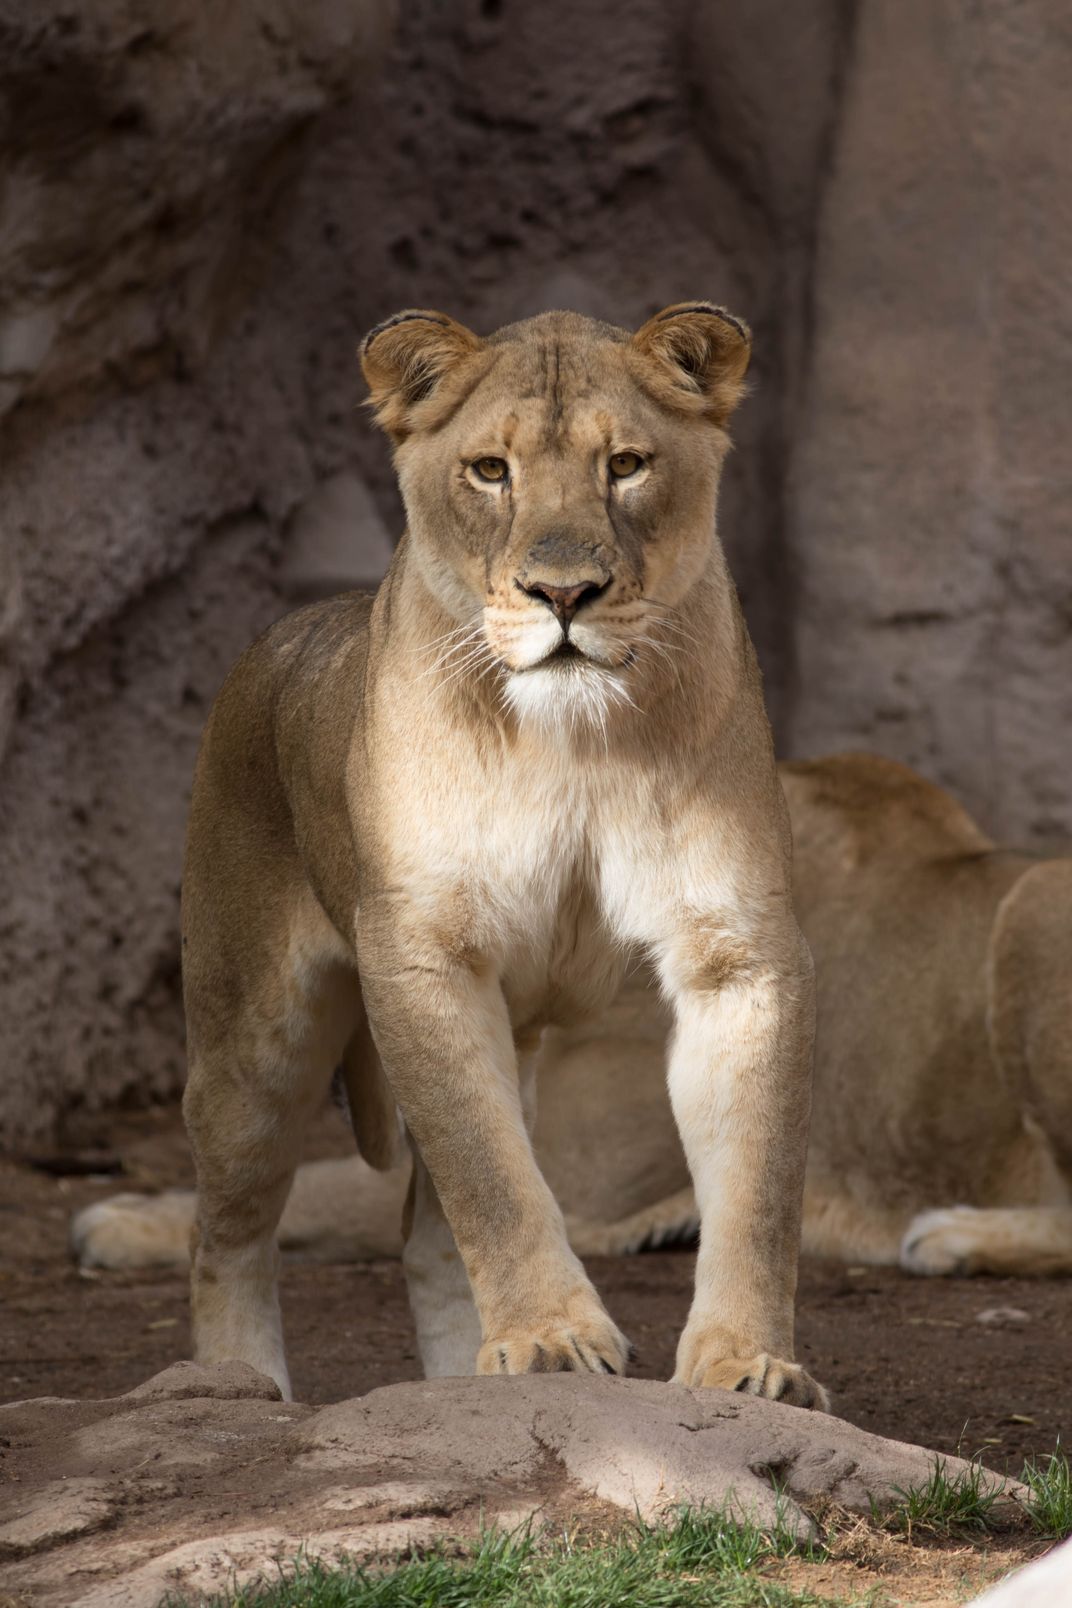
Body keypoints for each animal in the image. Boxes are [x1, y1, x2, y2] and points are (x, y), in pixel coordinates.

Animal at [97, 302, 825, 1408]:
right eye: (490, 470)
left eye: (625, 465)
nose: (564, 592)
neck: (572, 742)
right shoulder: (425, 951)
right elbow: (493, 1178)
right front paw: (555, 1337)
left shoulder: (736, 952)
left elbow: (757, 1183)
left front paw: (746, 1364)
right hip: (251, 1043)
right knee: (227, 1227)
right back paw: (235, 1384)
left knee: (428, 1234)